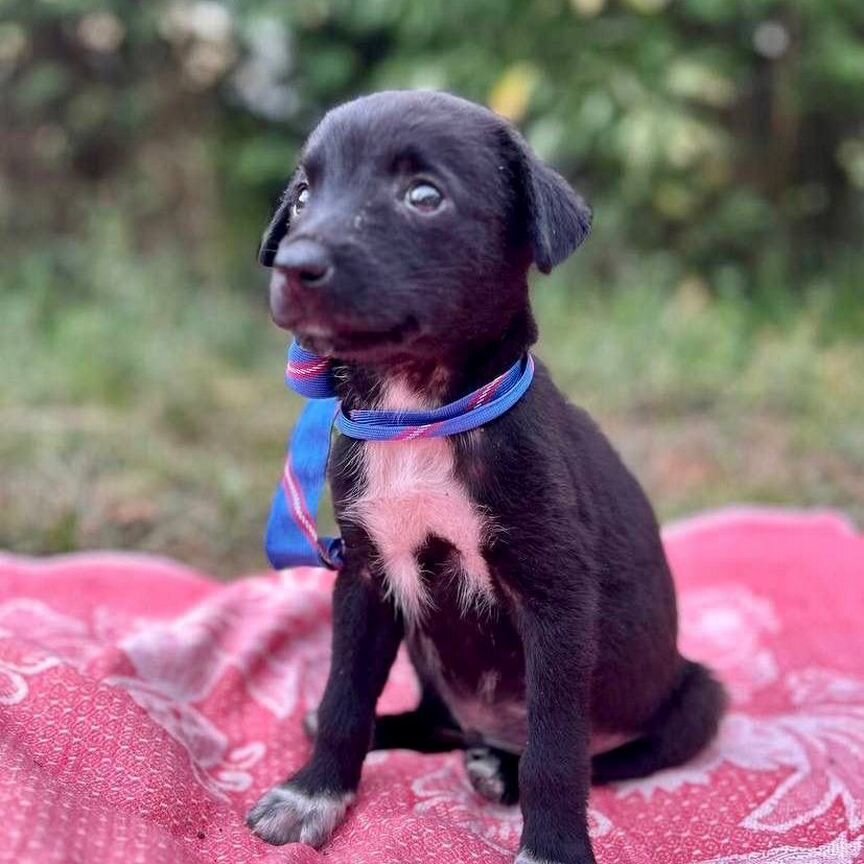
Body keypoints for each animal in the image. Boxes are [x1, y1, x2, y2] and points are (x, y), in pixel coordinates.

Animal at [246, 89, 724, 864]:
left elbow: (556, 750)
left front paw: (553, 847)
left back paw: (499, 767)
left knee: (605, 753)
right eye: (304, 196)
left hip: (695, 698)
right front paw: (314, 792)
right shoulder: (366, 576)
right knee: (430, 720)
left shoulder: (556, 598)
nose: (294, 264)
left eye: (424, 196)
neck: (418, 414)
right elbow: (345, 695)